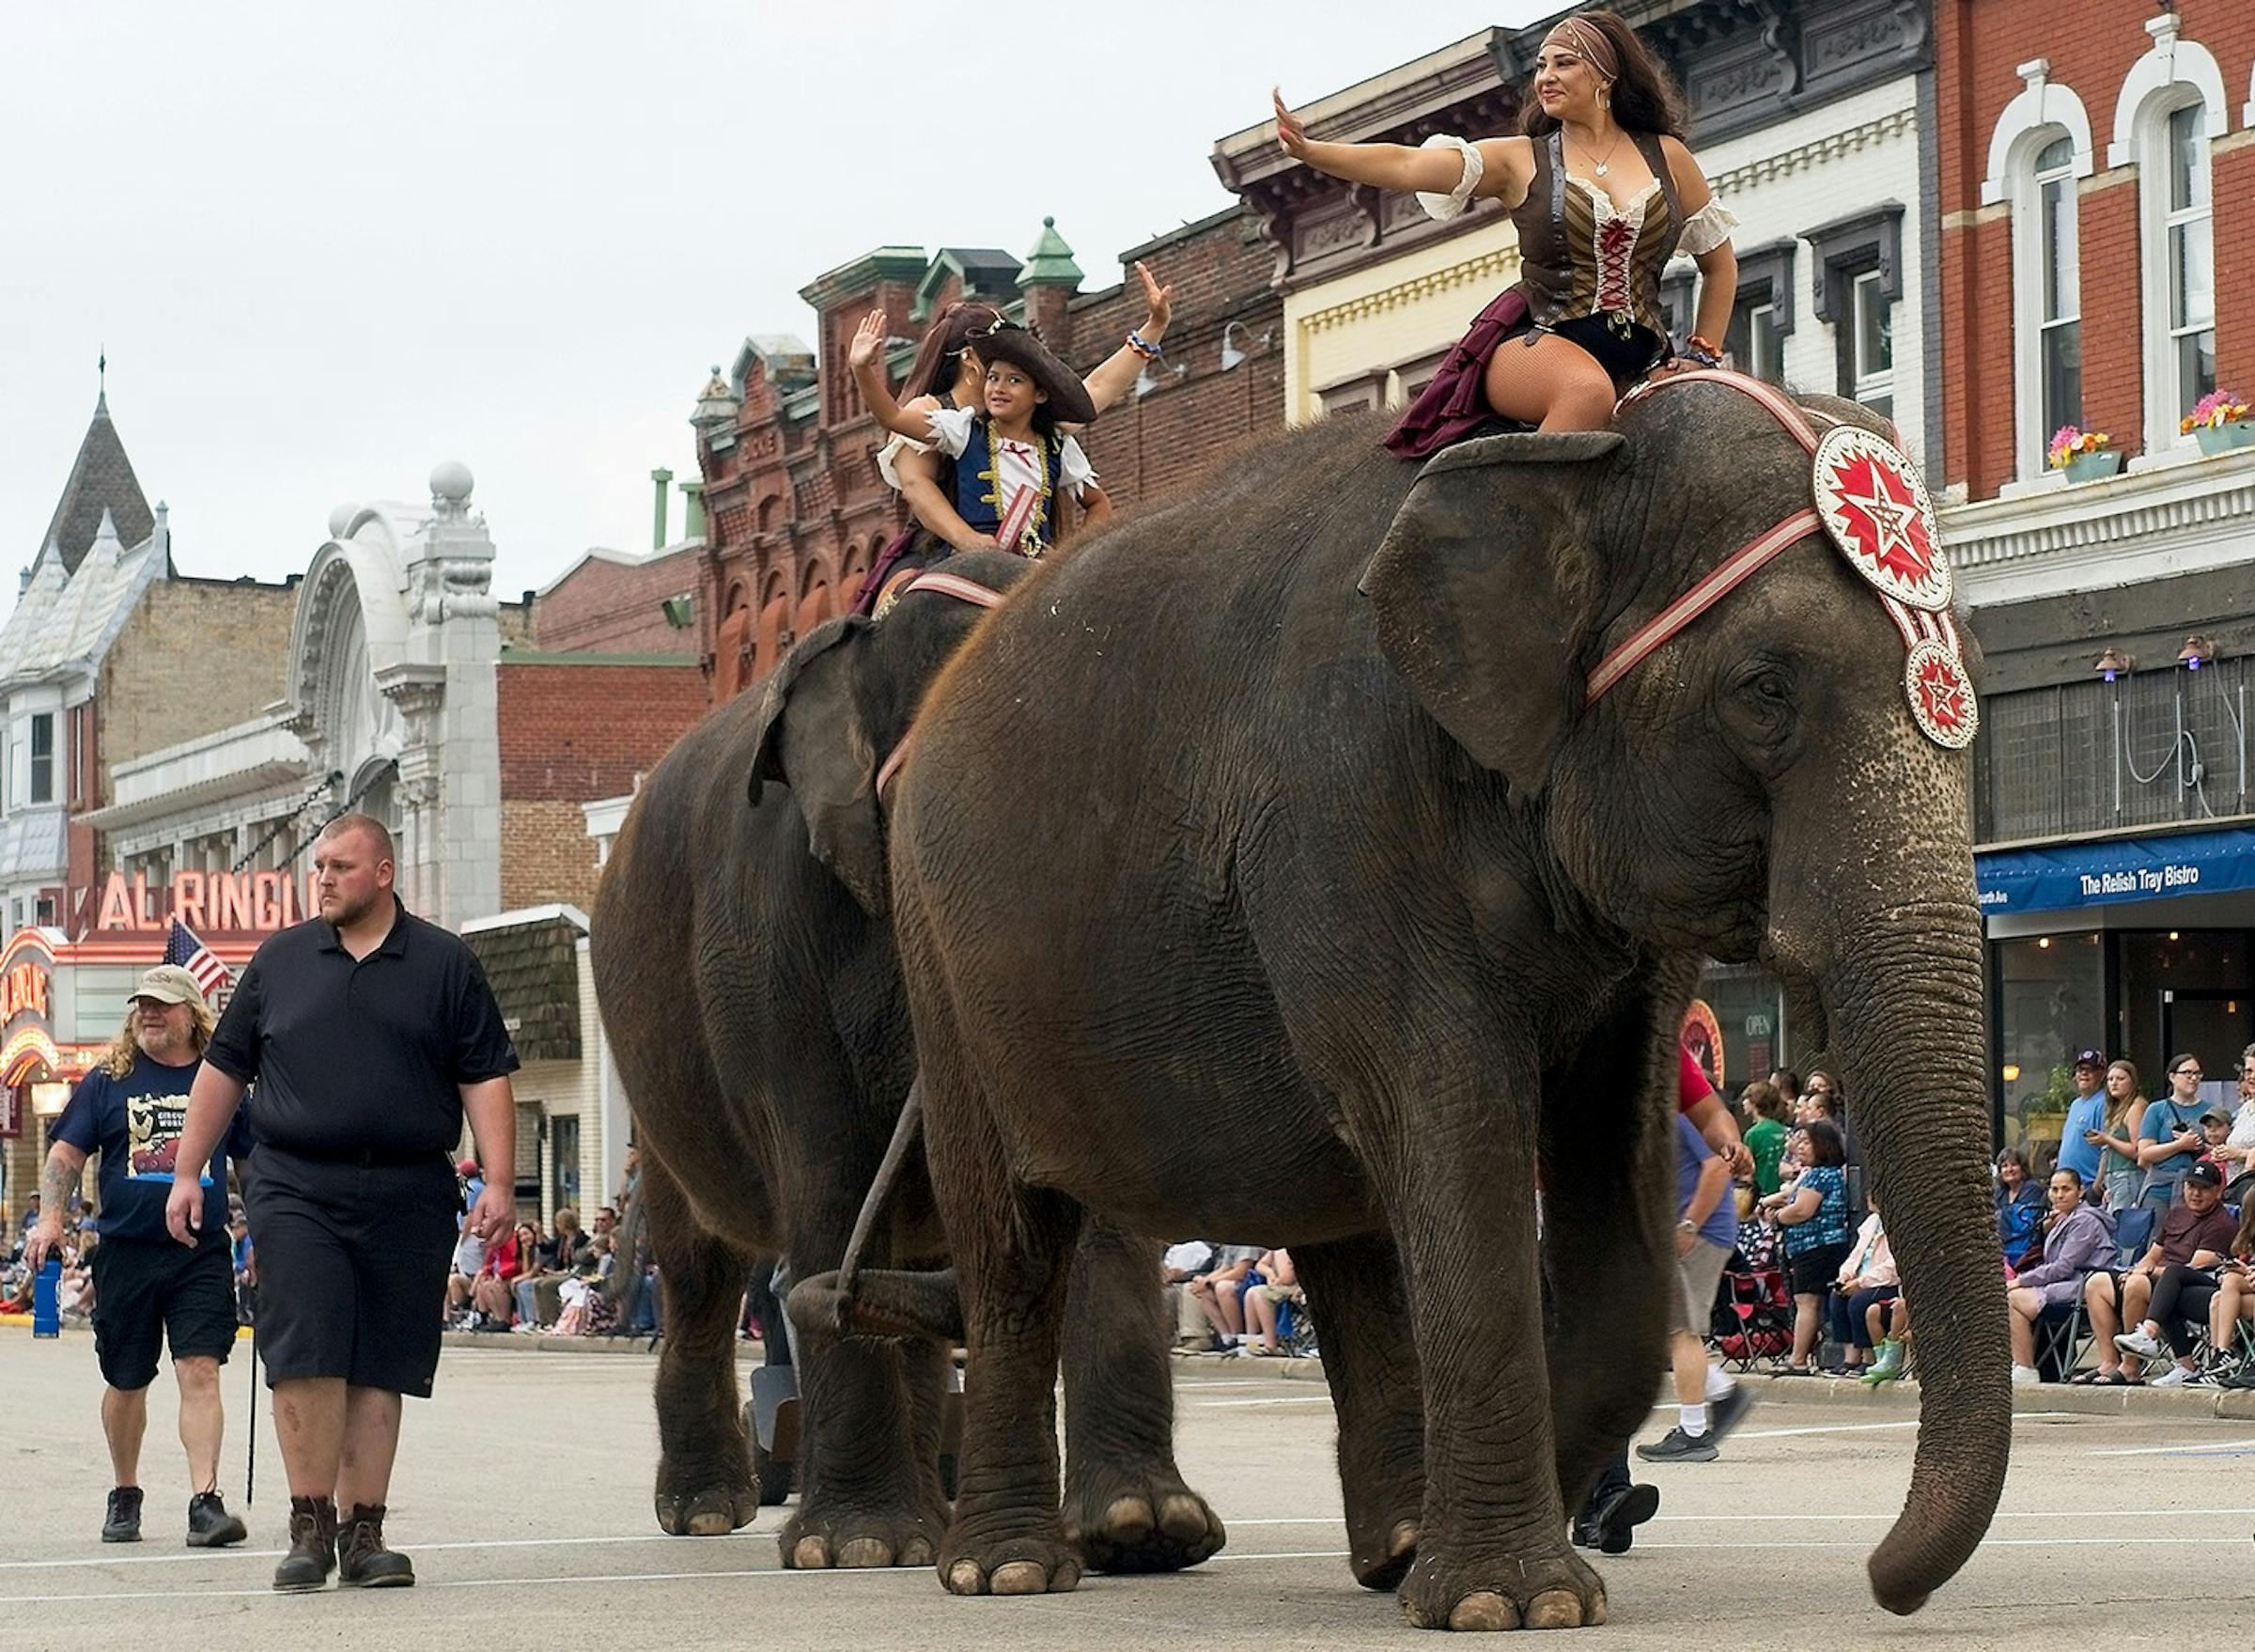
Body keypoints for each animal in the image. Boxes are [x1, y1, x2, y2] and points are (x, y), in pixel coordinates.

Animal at [588, 549, 1223, 1574]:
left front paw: (1147, 1530)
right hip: (658, 1076)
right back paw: (712, 1510)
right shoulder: (775, 944)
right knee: (700, 1272)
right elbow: (829, 1170)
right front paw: (853, 1548)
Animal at [836, 388, 2007, 1627]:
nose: (1884, 1582)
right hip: (940, 955)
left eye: (1975, 683)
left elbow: (1609, 1158)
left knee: (1345, 1238)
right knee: (1013, 1246)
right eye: (1765, 690)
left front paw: (1472, 1573)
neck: (1572, 460)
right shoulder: (1344, 806)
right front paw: (1513, 1604)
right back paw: (1007, 1571)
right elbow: (1453, 1119)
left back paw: (1392, 1545)